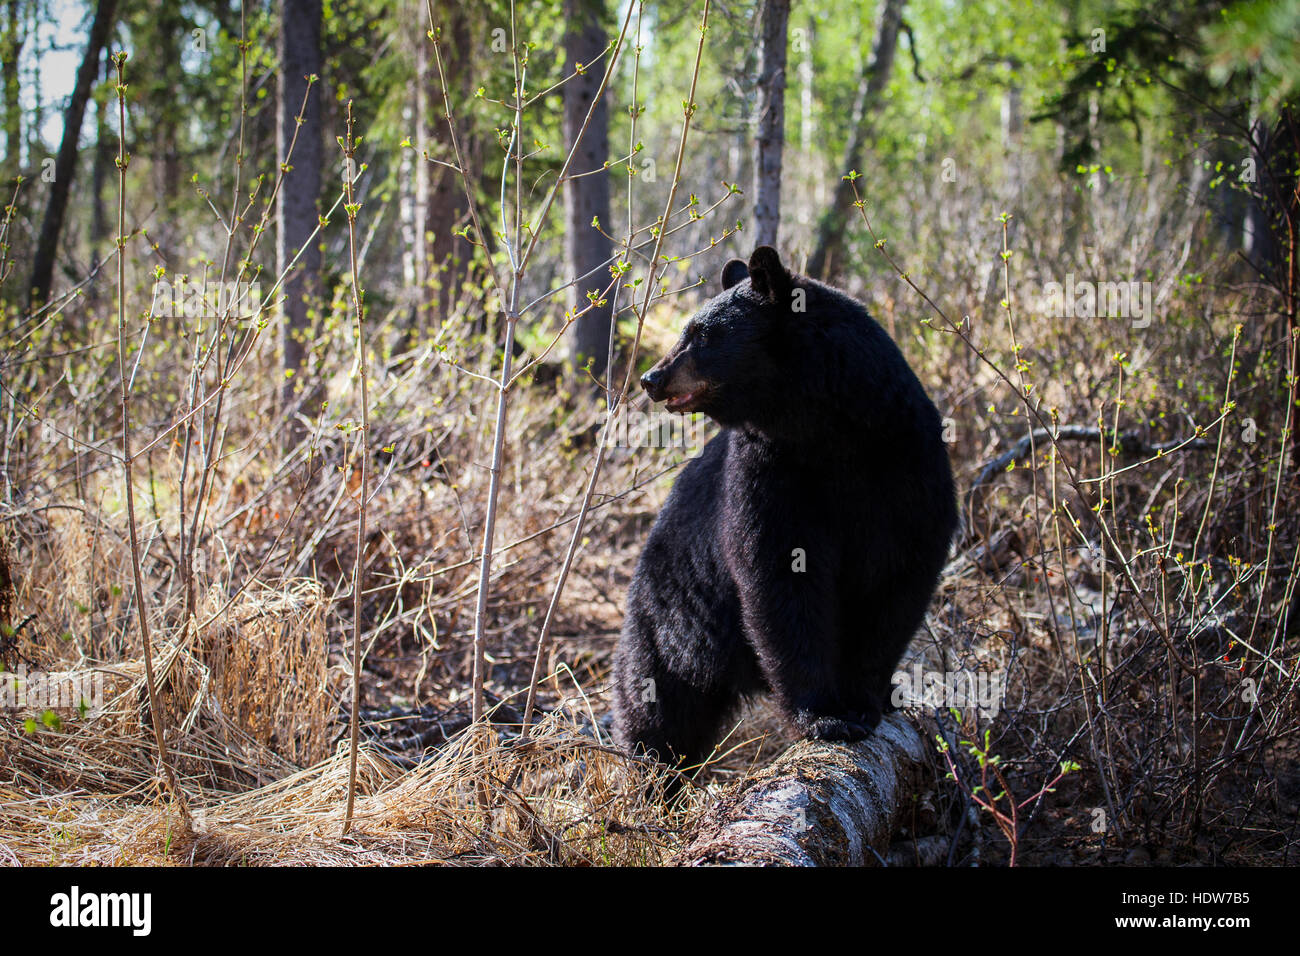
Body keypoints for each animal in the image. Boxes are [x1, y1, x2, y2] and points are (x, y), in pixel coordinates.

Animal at [612, 245, 958, 773]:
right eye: (689, 330)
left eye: (702, 335)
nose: (652, 378)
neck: (828, 428)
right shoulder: (769, 473)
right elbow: (781, 580)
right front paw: (824, 716)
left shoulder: (908, 465)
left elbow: (897, 586)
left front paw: (866, 698)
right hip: (670, 617)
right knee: (657, 701)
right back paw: (652, 774)